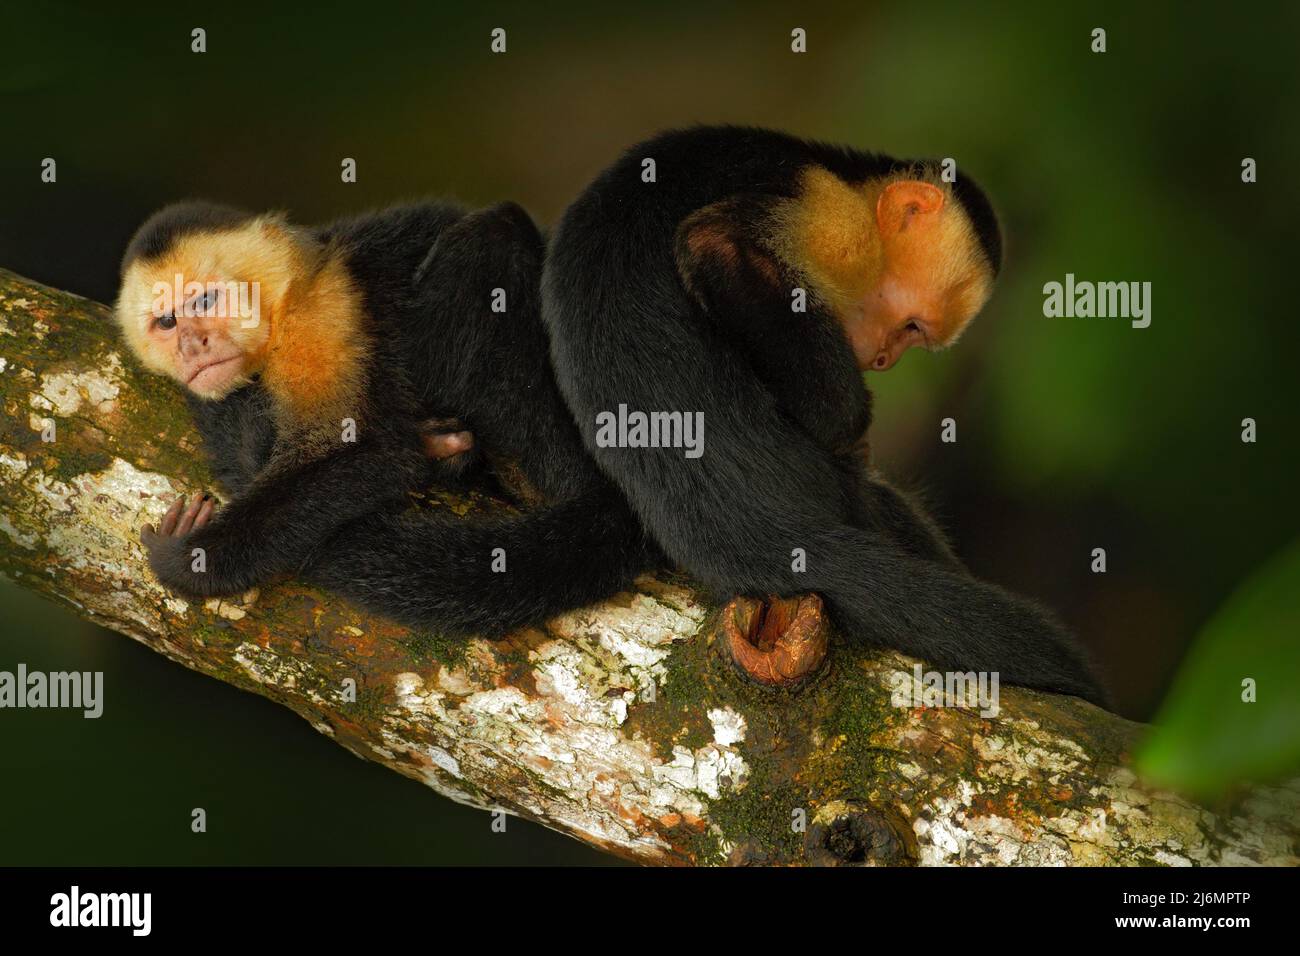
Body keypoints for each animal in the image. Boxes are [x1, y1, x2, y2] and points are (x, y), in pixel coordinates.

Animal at [115, 199, 653, 636]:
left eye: (205, 300)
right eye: (166, 322)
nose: (192, 346)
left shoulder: (321, 312)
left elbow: (364, 452)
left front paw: (188, 561)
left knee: (493, 234)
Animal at [542, 125, 1108, 705]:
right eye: (911, 327)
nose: (881, 359)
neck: (851, 179)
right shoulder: (835, 217)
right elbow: (713, 242)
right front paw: (848, 419)